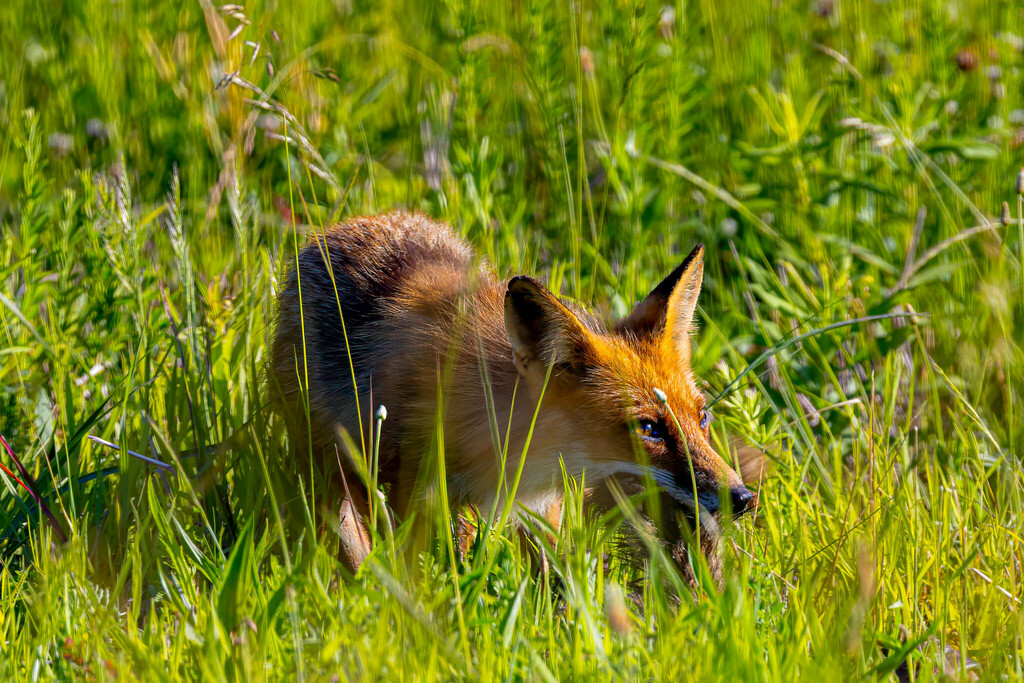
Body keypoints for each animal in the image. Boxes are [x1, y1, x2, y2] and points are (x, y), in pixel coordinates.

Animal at [270, 211, 754, 582]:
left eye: (703, 417)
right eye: (648, 428)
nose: (743, 498)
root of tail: (348, 225)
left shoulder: (542, 508)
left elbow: (557, 585)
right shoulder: (422, 494)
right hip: (332, 470)